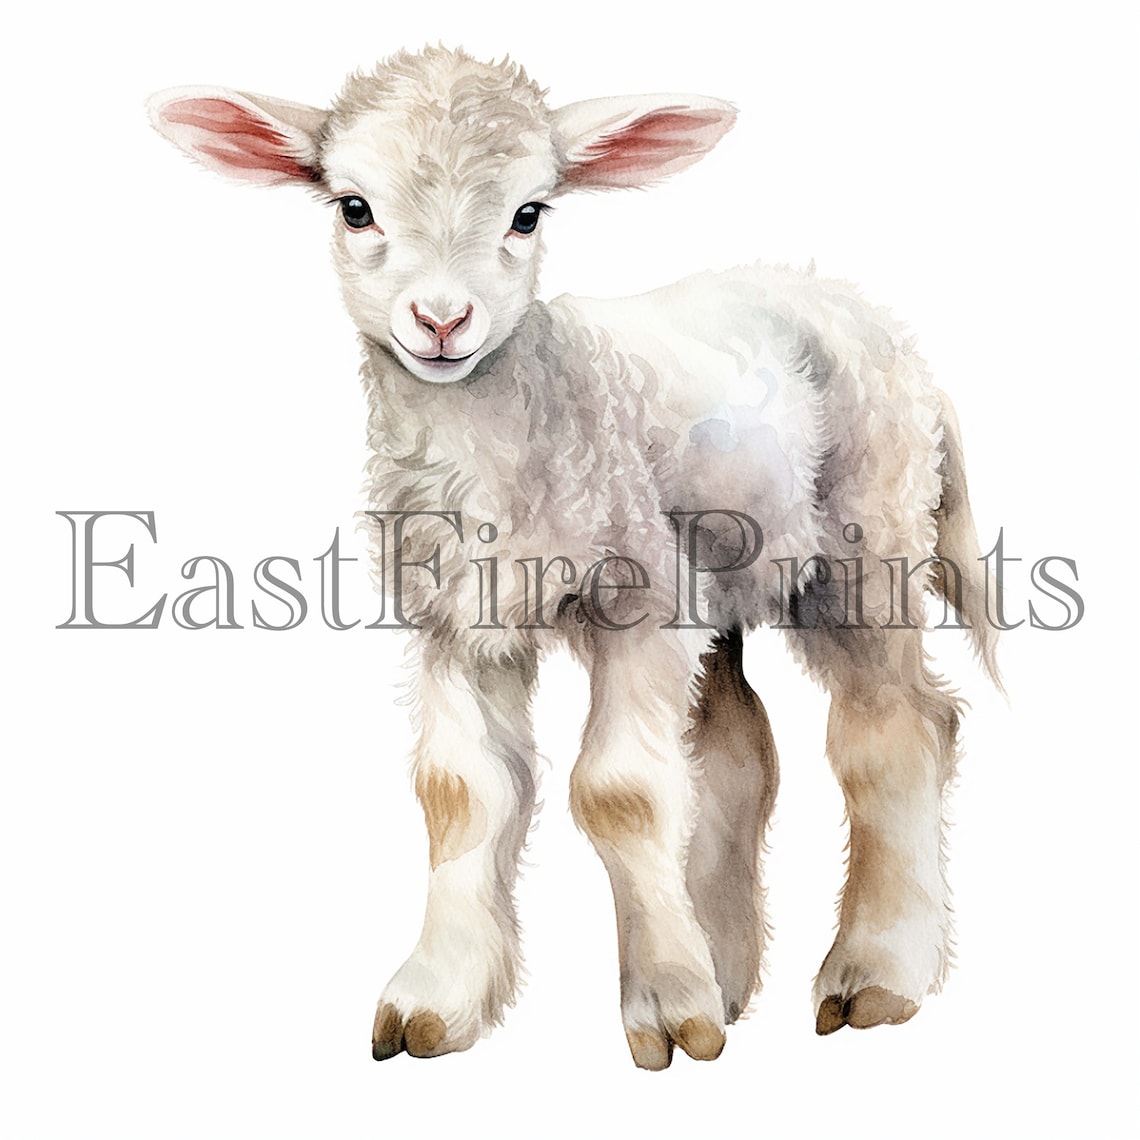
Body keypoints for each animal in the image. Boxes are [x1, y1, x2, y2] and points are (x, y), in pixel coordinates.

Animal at [148, 44, 999, 1069]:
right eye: (354, 207)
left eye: (529, 212)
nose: (442, 320)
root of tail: (872, 320)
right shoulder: (455, 623)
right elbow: (460, 794)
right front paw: (439, 999)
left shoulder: (636, 598)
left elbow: (619, 793)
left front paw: (667, 1006)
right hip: (713, 573)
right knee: (737, 747)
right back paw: (727, 967)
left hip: (865, 544)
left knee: (899, 729)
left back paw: (875, 972)